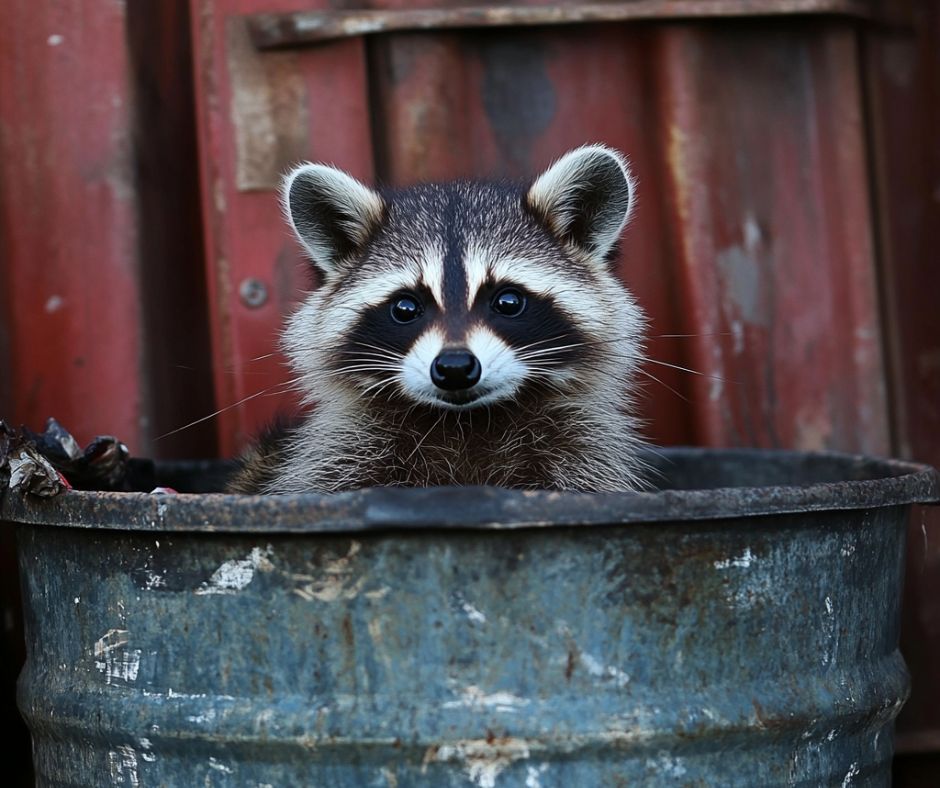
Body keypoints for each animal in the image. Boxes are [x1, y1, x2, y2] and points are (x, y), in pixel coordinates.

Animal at [228, 145, 649, 494]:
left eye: (508, 301)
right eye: (405, 308)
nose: (455, 367)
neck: (466, 422)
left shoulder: (580, 452)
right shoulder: (343, 455)